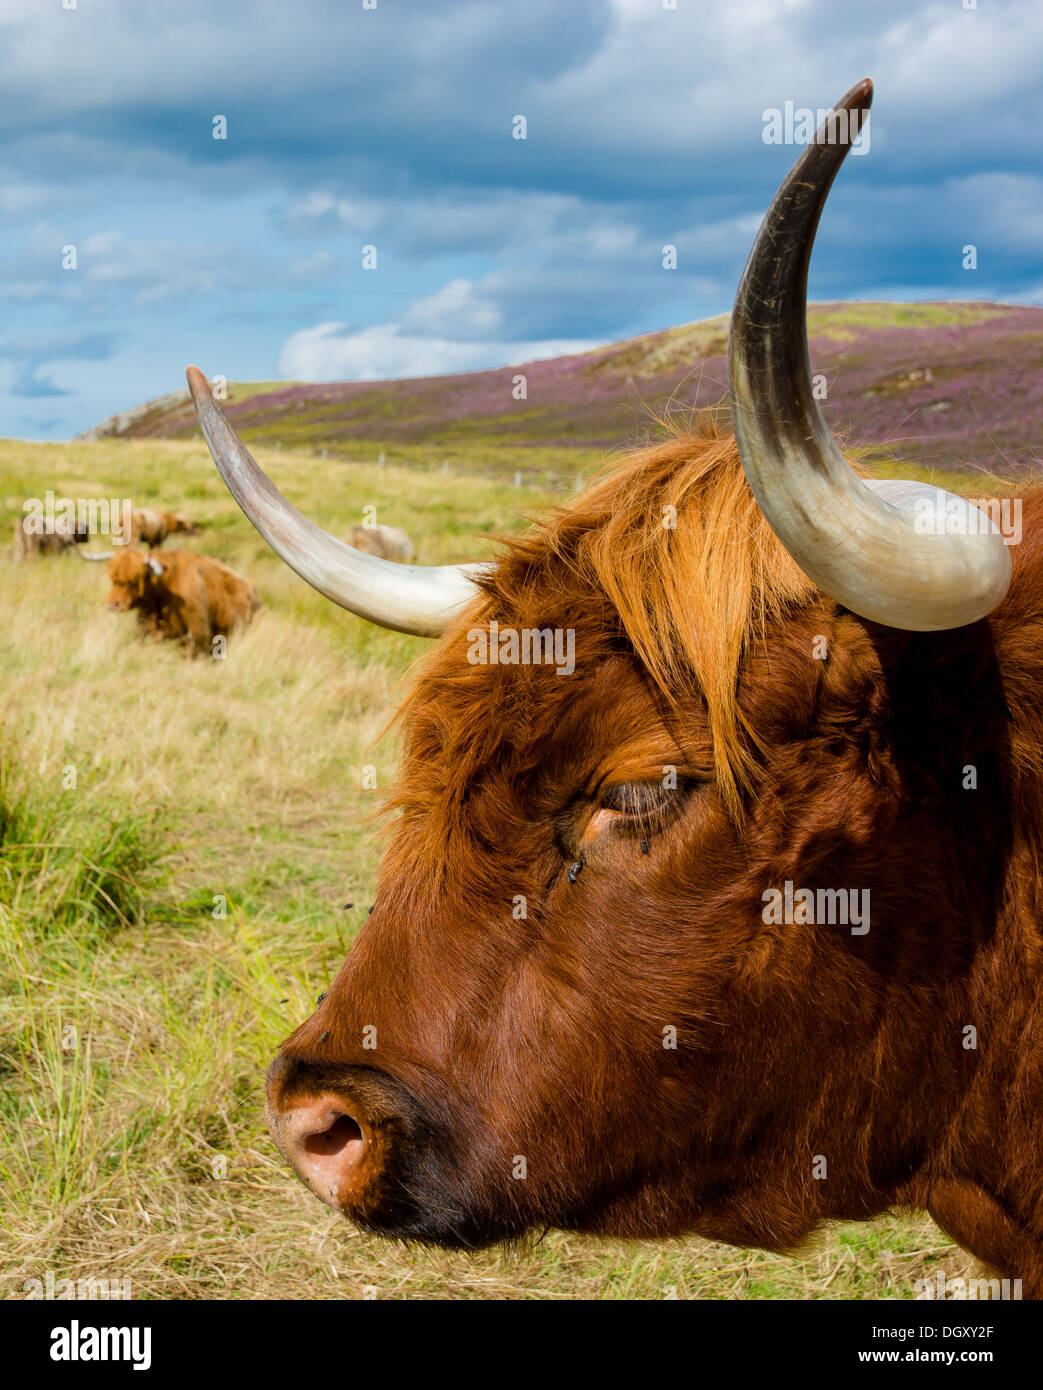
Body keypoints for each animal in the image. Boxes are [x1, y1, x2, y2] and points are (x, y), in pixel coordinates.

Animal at [105, 547, 259, 656]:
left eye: (134, 580)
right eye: (113, 580)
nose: (113, 604)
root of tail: (251, 590)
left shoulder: (197, 631)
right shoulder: (145, 622)